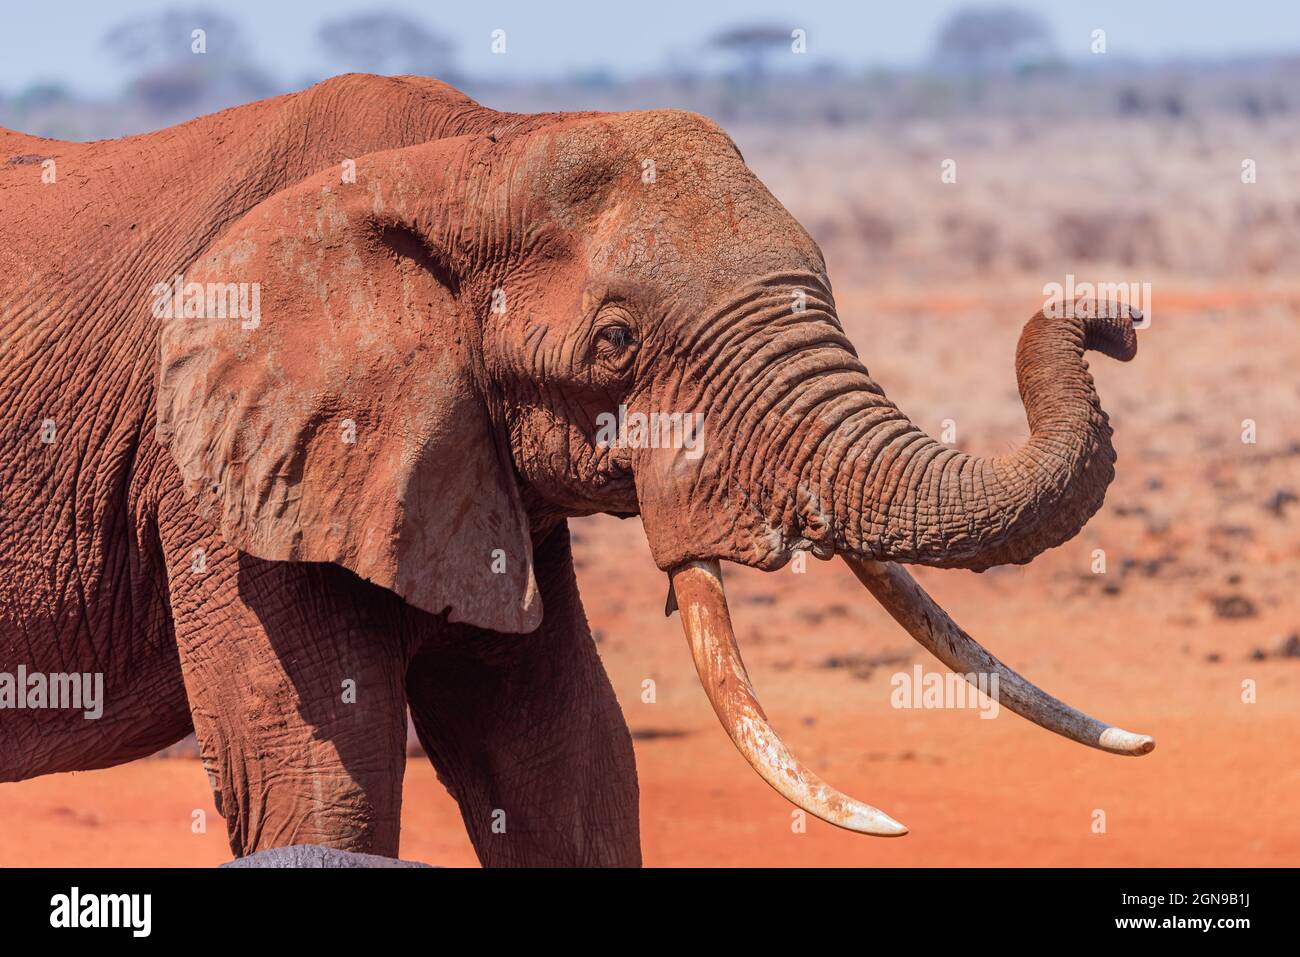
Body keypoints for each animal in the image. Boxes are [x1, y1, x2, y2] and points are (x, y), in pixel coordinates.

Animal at [0, 74, 1151, 866]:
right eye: (614, 343)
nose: (1116, 323)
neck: (477, 146)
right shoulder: (217, 475)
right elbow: (315, 781)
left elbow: (568, 765)